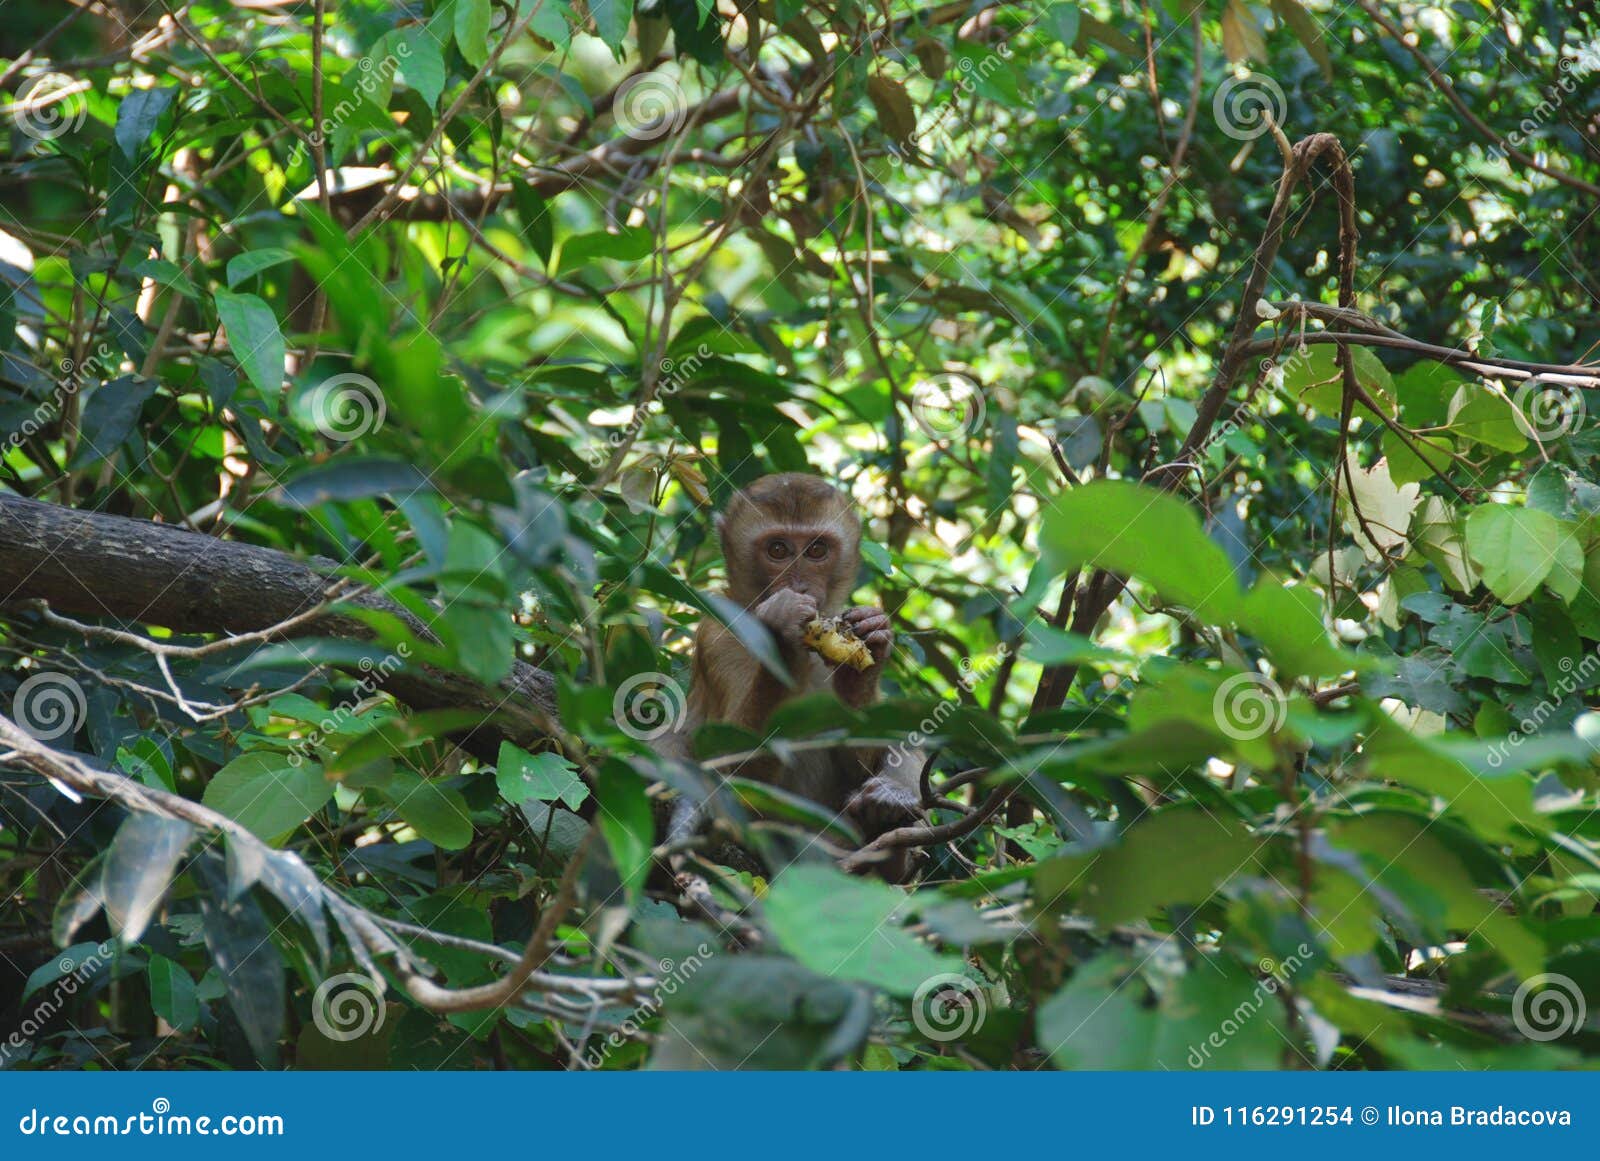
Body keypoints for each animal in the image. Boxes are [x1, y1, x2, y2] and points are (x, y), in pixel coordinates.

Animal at [667, 473, 924, 881]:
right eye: (778, 549)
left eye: (817, 550)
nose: (800, 586)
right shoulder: (717, 634)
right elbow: (728, 770)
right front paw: (781, 634)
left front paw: (869, 647)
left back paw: (890, 834)